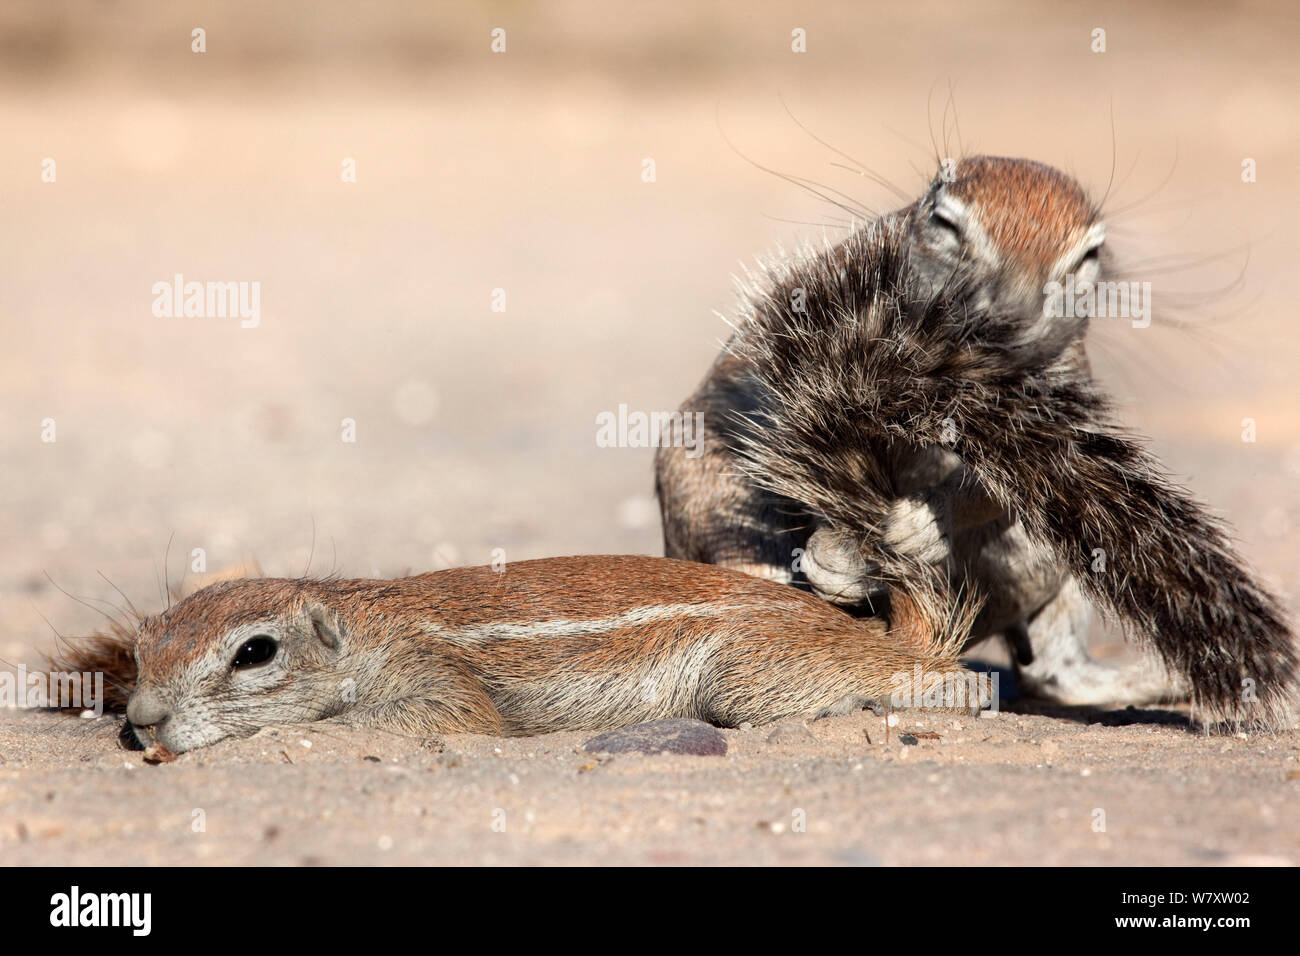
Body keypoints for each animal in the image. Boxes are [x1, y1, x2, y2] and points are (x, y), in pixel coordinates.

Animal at [656, 155, 1297, 728]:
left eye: (1088, 256)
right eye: (944, 223)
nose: (1011, 314)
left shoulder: (1058, 389)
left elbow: (1011, 481)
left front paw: (918, 522)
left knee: (1053, 673)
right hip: (710, 501)